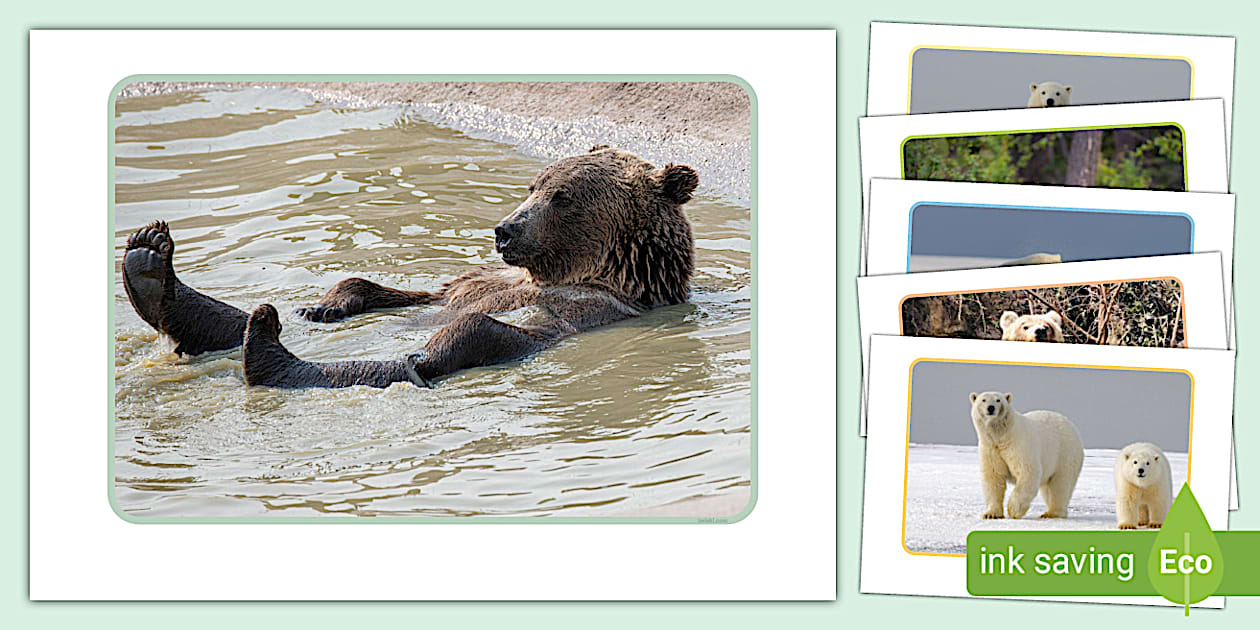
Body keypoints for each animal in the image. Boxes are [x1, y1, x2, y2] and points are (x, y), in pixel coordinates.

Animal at [121, 146, 700, 388]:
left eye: (563, 197)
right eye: (534, 185)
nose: (505, 229)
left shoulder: (587, 310)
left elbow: (492, 324)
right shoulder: (472, 280)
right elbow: (391, 288)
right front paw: (326, 306)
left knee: (437, 349)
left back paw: (268, 351)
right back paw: (149, 262)